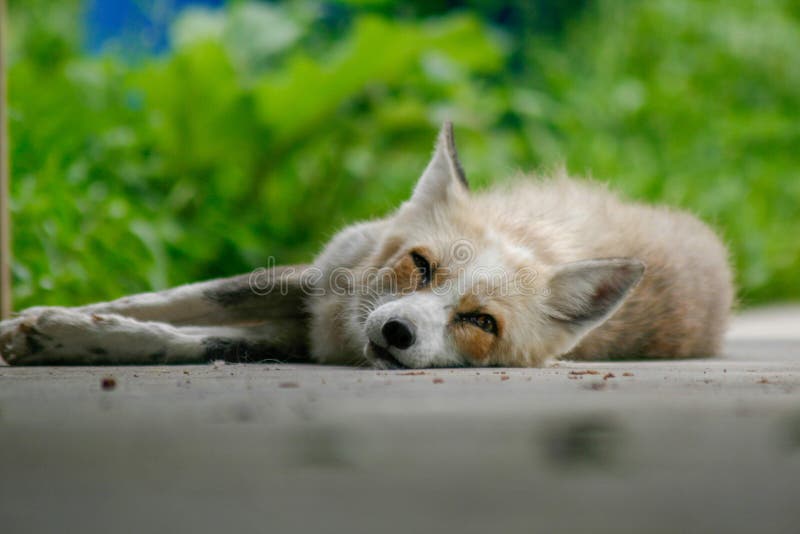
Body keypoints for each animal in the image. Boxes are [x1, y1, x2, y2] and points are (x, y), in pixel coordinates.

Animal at [0, 123, 733, 368]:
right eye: (421, 266)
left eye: (480, 322)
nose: (398, 333)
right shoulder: (314, 278)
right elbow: (160, 300)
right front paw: (38, 322)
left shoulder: (299, 341)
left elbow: (176, 340)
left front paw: (62, 338)